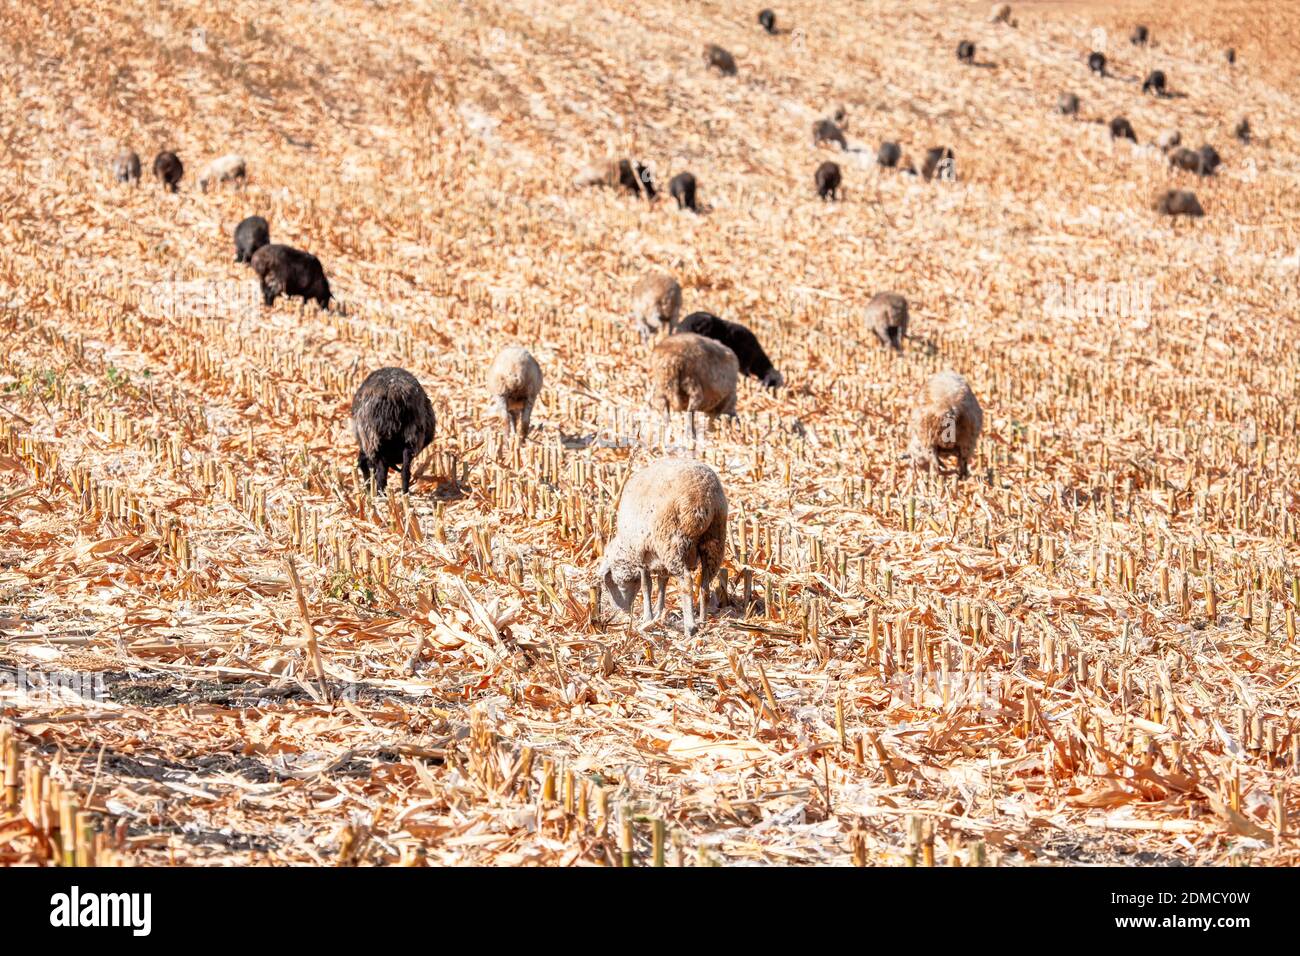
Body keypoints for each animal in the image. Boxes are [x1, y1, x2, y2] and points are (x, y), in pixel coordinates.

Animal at [351, 367, 436, 495]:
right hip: (410, 438)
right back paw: (404, 494)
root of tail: (392, 394)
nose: (367, 490)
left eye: (362, 467)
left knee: (382, 474)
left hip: (376, 442)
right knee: (405, 472)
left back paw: (382, 495)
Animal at [596, 457, 727, 637]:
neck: (625, 547)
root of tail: (704, 498)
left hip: (672, 542)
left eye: (608, 585)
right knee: (705, 587)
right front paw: (659, 613)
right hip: (714, 541)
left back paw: (690, 627)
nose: (621, 611)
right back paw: (702, 620)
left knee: (686, 582)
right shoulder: (658, 559)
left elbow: (647, 586)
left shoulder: (641, 554)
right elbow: (662, 584)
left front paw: (647, 618)